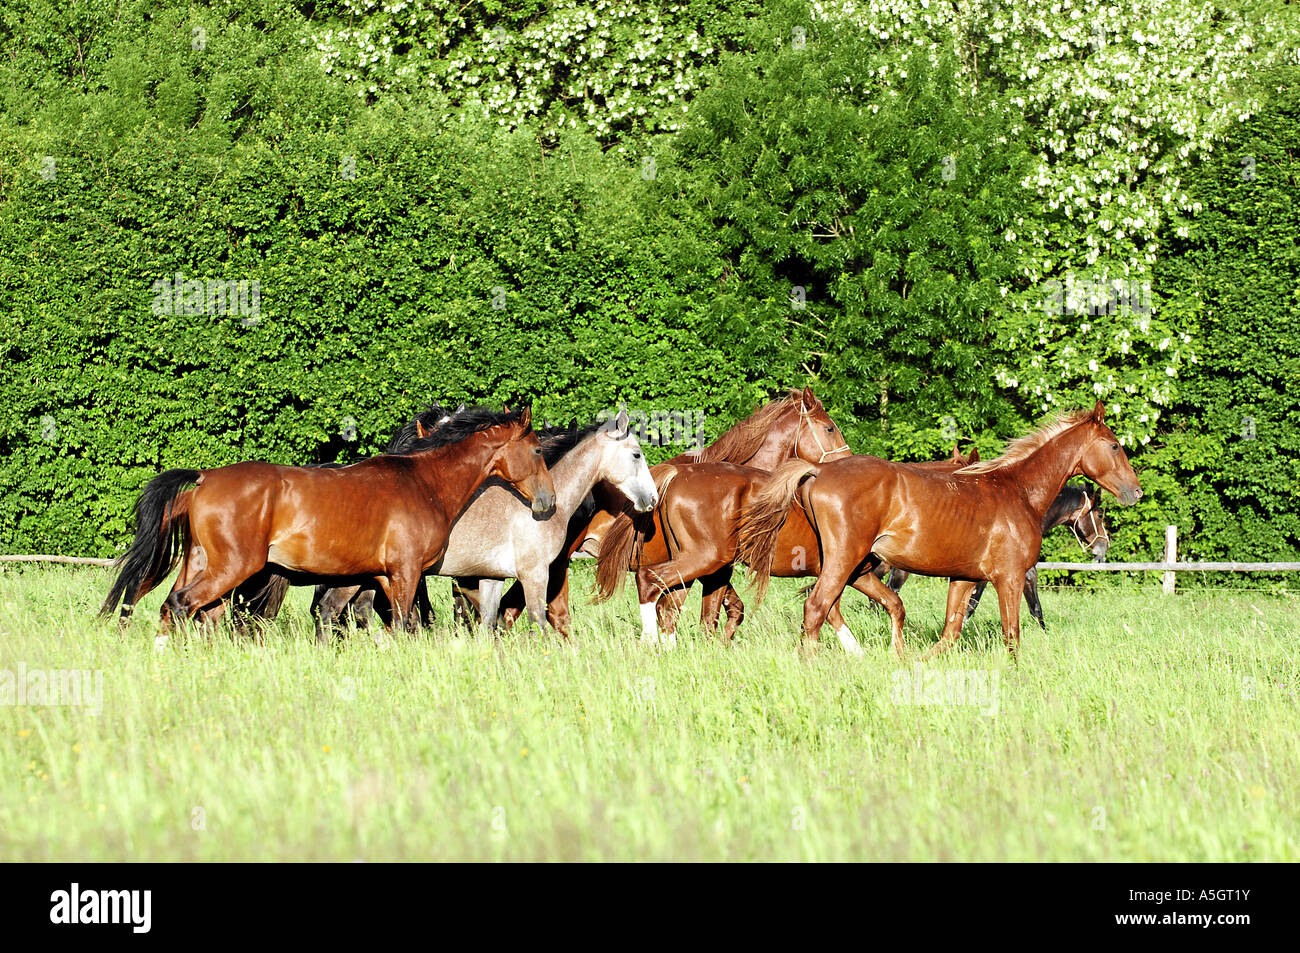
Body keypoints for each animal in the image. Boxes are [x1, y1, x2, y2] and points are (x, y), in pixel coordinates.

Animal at [99, 407, 556, 641]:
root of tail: (203, 478)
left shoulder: (378, 575)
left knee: (183, 609)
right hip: (233, 568)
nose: (548, 503)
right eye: (537, 450)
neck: (424, 481)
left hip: (198, 562)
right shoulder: (406, 572)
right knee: (184, 606)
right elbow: (403, 622)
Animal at [738, 402, 1141, 658]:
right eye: (1115, 446)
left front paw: (913, 662)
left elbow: (950, 633)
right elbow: (1013, 634)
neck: (1019, 492)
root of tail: (819, 470)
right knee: (816, 607)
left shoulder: (963, 578)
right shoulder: (1010, 577)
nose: (1135, 492)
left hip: (852, 566)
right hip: (845, 561)